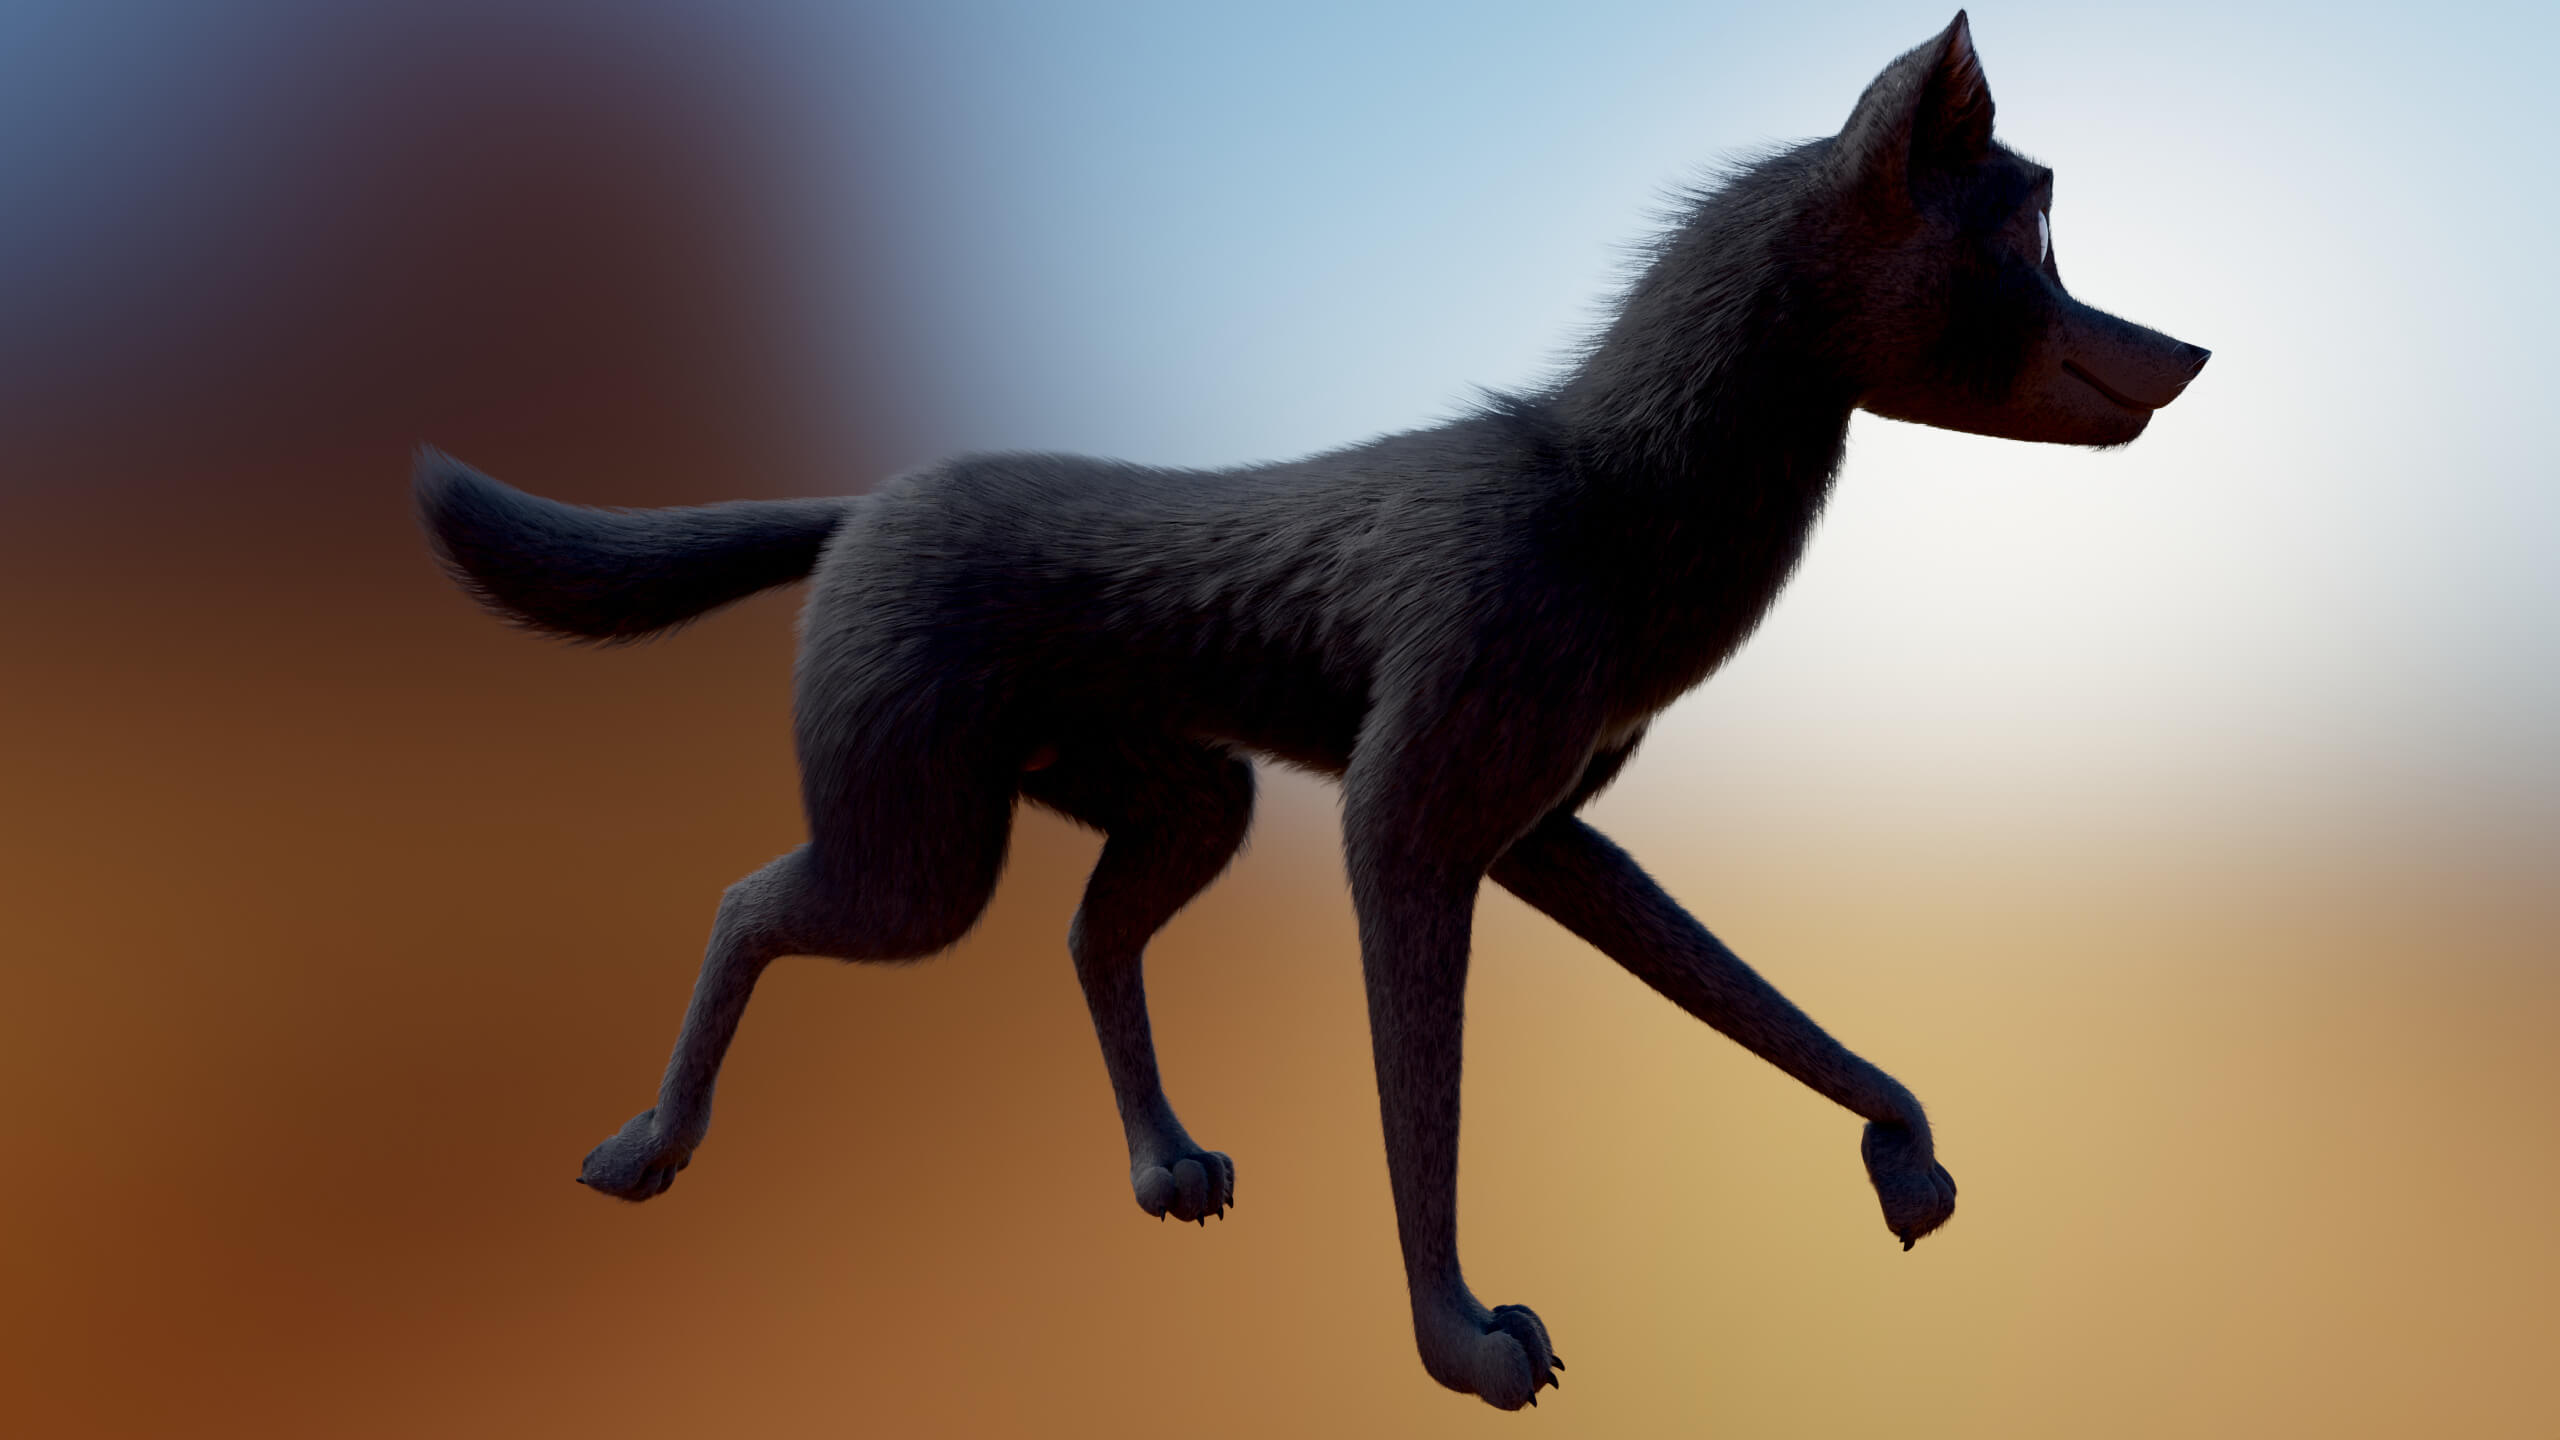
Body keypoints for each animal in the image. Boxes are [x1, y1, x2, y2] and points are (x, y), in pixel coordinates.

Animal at [416, 12, 2204, 1410]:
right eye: (2036, 248)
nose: (2185, 355)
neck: (1616, 497)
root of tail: (868, 502)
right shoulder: (1407, 834)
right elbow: (1426, 1104)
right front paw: (1461, 1345)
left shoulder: (1543, 836)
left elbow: (1762, 1008)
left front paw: (1901, 1150)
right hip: (920, 861)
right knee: (750, 903)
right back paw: (649, 1147)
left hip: (1184, 798)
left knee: (1090, 933)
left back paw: (1162, 1165)